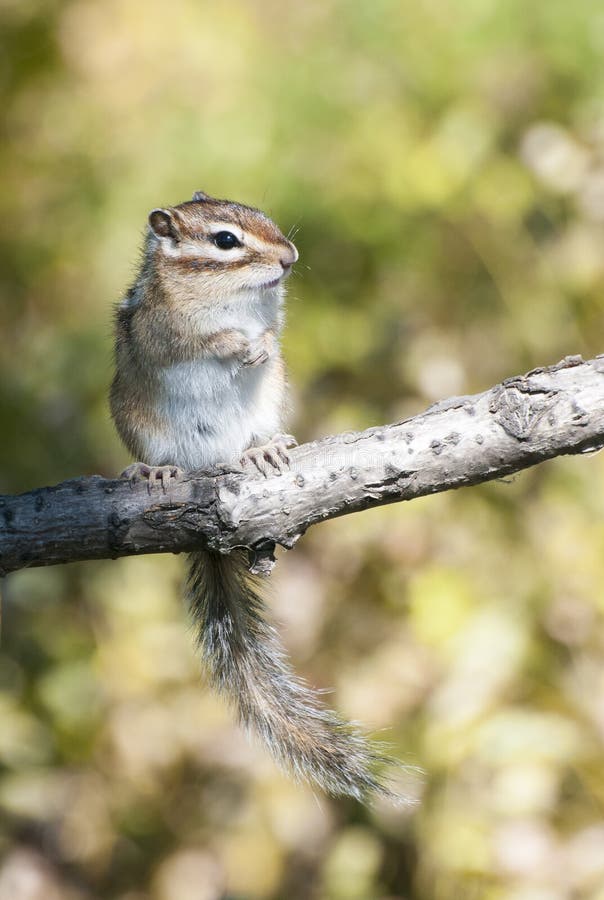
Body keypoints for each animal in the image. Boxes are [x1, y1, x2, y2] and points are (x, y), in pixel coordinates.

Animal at [110, 191, 395, 802]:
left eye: (265, 218)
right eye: (225, 241)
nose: (290, 258)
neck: (229, 295)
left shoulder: (274, 319)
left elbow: (273, 335)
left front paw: (259, 345)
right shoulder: (165, 328)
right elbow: (196, 341)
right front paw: (232, 343)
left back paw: (262, 450)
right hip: (138, 418)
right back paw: (156, 471)